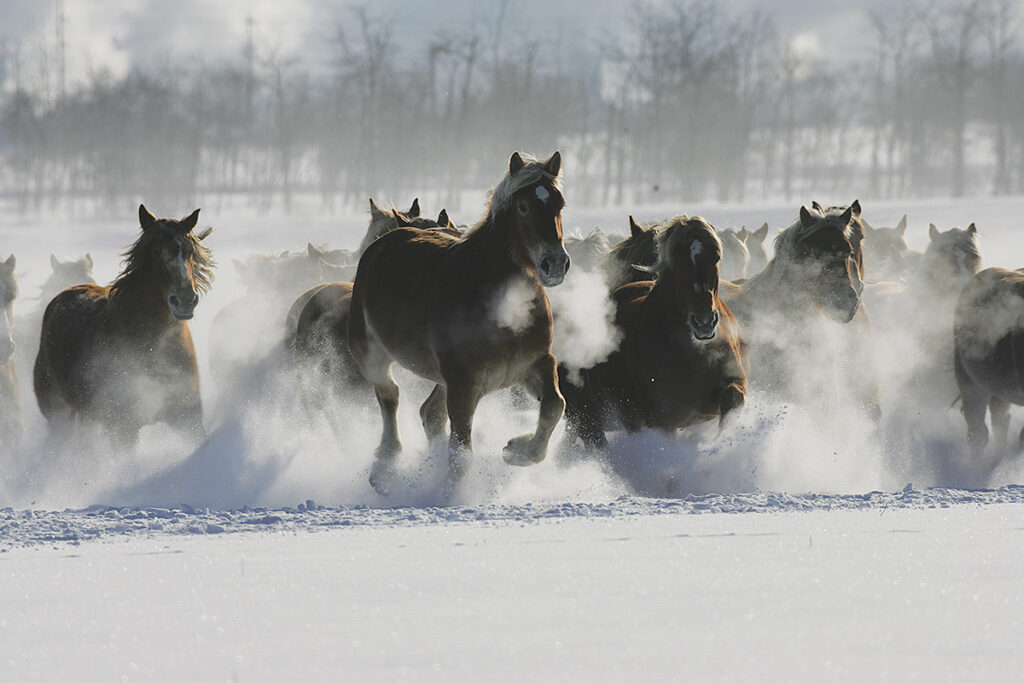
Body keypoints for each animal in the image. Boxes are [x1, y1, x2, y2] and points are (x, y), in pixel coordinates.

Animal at [34, 205, 214, 446]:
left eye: (189, 251)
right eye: (155, 252)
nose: (184, 300)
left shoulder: (188, 417)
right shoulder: (123, 429)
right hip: (60, 415)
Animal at [348, 151, 569, 494]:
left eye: (560, 204)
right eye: (523, 206)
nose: (555, 264)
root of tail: (386, 238)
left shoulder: (536, 363)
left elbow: (553, 406)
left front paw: (517, 450)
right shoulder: (464, 384)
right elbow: (461, 452)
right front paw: (449, 495)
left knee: (430, 413)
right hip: (372, 356)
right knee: (390, 396)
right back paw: (385, 468)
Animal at [560, 216, 746, 450]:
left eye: (716, 257)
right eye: (676, 261)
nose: (704, 322)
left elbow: (733, 401)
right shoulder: (659, 419)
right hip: (588, 418)